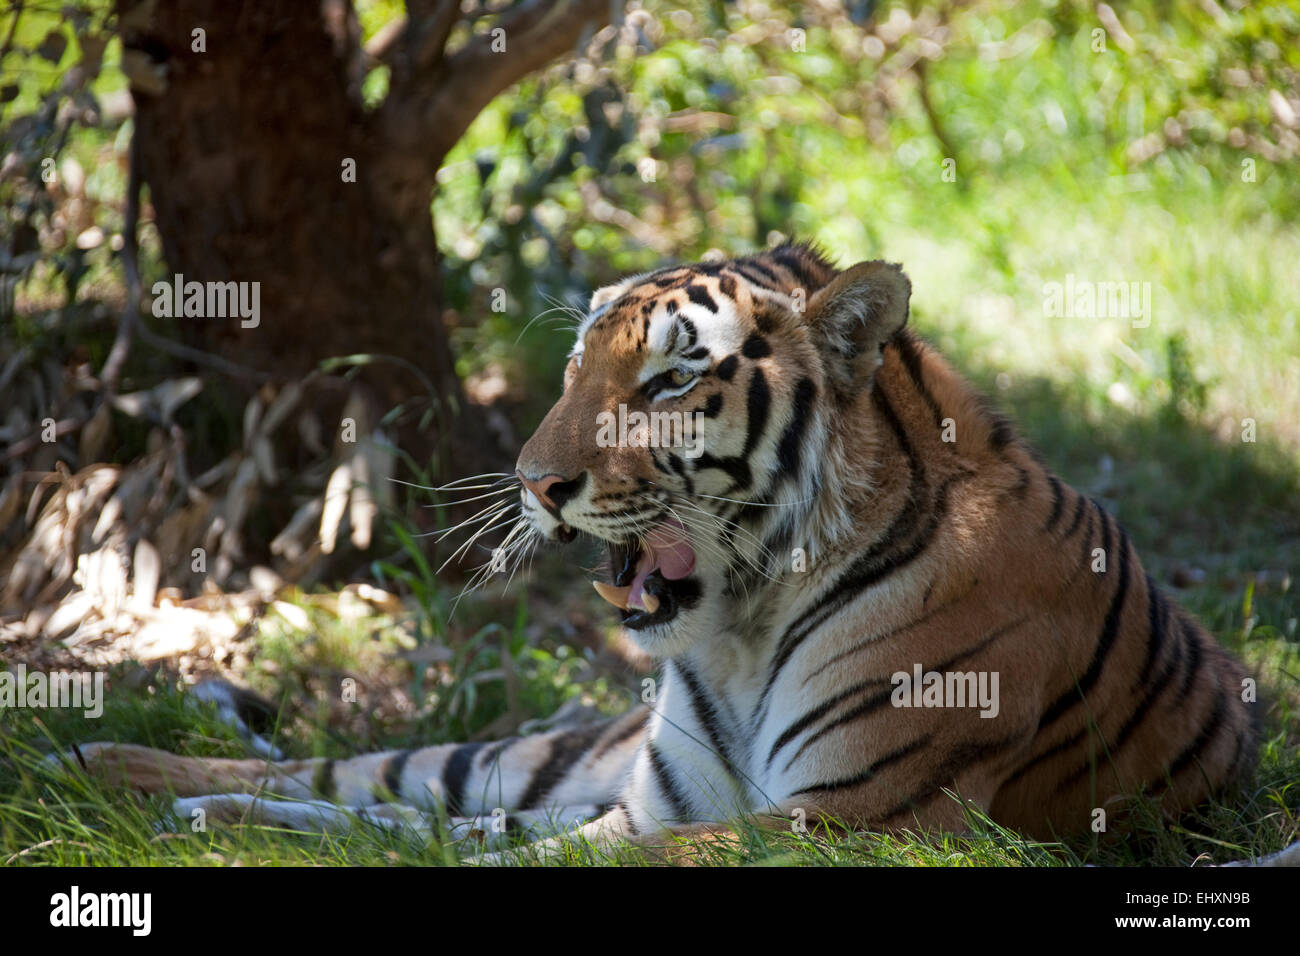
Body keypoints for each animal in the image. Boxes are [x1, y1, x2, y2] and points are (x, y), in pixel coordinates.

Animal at [67, 243, 1290, 864]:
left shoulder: (858, 823)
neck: (740, 628)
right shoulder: (657, 805)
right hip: (539, 757)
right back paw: (119, 769)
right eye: (575, 371)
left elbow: (516, 859)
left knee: (396, 815)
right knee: (357, 780)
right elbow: (478, 844)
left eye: (667, 381)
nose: (533, 482)